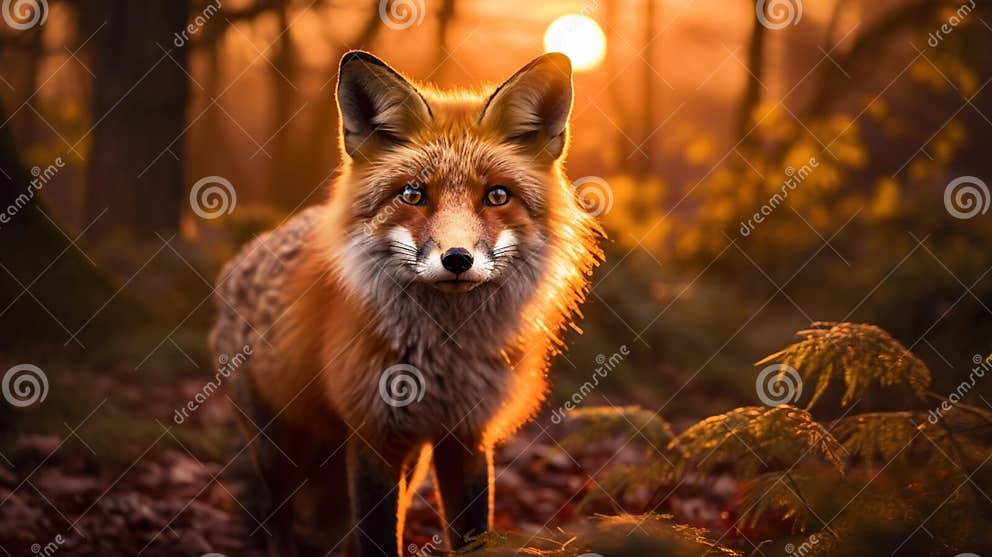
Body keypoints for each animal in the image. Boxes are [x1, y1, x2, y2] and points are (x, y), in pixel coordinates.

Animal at [209, 50, 602, 557]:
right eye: (413, 194)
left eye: (497, 195)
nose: (457, 259)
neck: (445, 356)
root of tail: (250, 250)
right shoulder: (373, 435)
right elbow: (377, 540)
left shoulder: (466, 436)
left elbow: (472, 533)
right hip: (278, 450)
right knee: (281, 526)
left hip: (406, 461)